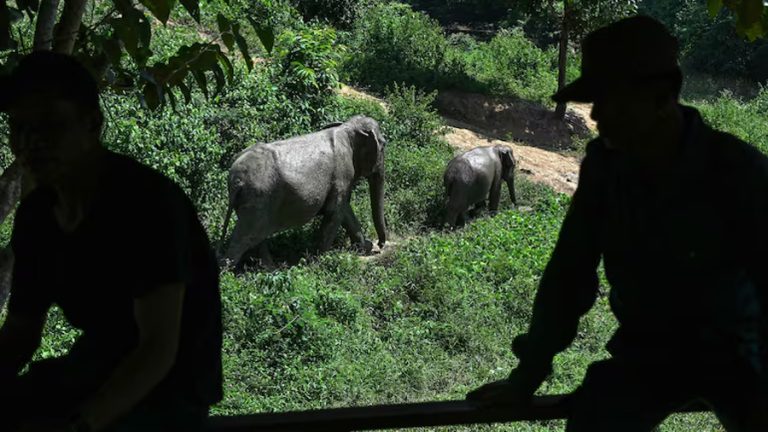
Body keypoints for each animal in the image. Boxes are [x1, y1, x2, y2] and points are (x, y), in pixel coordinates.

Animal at [219, 115, 387, 268]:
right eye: (383, 145)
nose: (380, 245)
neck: (346, 127)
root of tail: (235, 179)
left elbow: (344, 210)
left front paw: (364, 248)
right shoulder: (343, 173)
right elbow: (335, 211)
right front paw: (319, 261)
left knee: (255, 236)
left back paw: (270, 270)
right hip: (258, 197)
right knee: (245, 237)